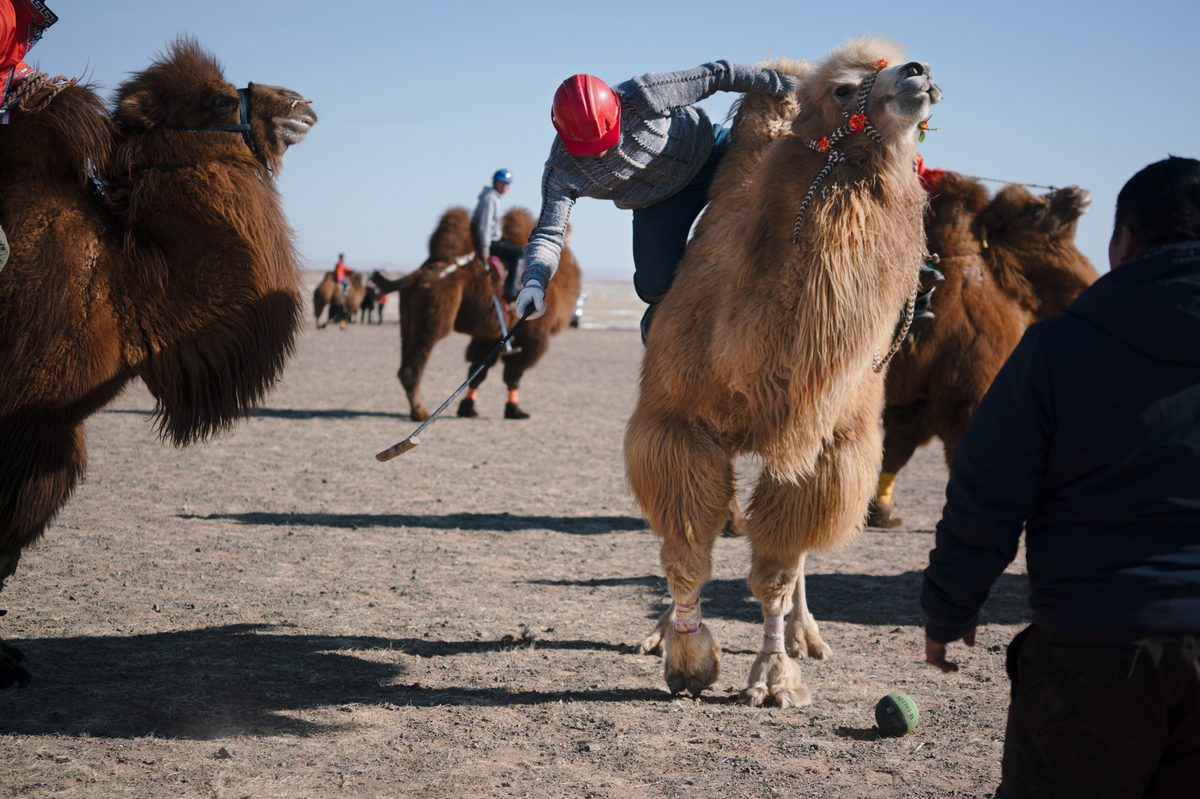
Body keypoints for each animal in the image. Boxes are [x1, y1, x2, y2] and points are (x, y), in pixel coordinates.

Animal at [370, 207, 581, 421]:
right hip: (433, 317)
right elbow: (513, 374)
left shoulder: (490, 336)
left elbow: (478, 370)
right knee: (413, 368)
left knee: (405, 364)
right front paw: (514, 411)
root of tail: (418, 274)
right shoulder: (532, 335)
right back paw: (421, 413)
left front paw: (467, 409)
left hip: (407, 318)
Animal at [625, 38, 939, 707]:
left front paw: (774, 675)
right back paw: (660, 631)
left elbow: (777, 568)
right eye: (844, 89)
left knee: (798, 558)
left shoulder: (823, 446)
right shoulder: (675, 422)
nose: (918, 72)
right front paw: (687, 657)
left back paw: (806, 636)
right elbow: (686, 549)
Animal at [868, 171, 1098, 526]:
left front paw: (880, 513)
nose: (1076, 192)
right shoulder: (967, 391)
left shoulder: (918, 398)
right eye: (1035, 209)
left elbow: (896, 449)